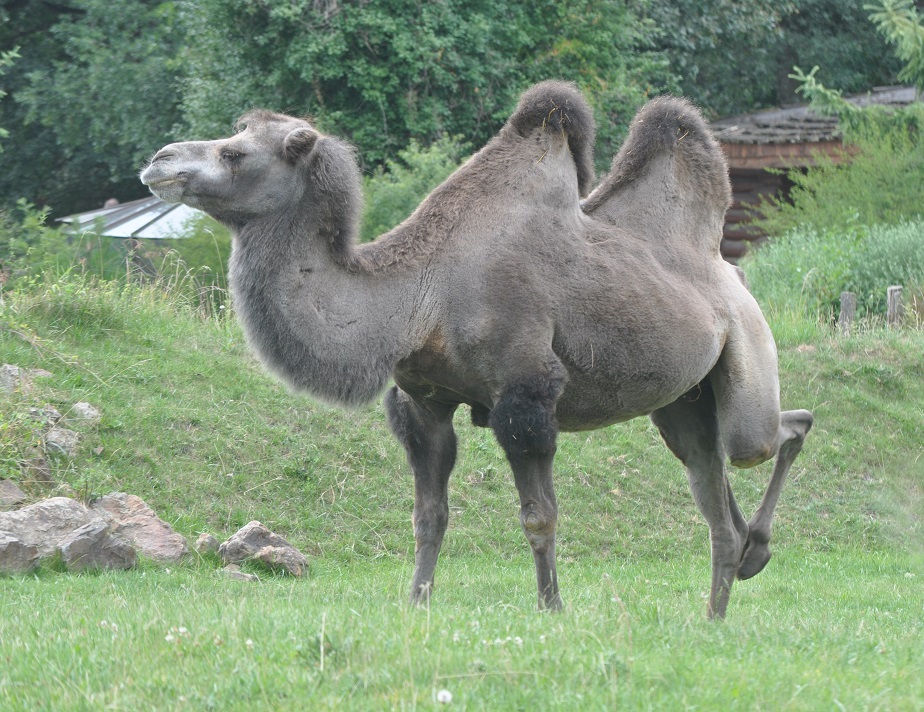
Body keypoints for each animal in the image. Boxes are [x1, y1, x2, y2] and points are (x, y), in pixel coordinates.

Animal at [141, 81, 813, 619]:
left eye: (234, 152)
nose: (158, 159)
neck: (422, 295)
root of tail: (728, 271)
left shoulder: (526, 393)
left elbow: (539, 515)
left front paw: (551, 609)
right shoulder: (424, 400)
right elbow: (428, 516)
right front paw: (417, 602)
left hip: (748, 347)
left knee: (772, 433)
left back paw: (753, 549)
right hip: (680, 400)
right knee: (708, 470)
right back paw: (726, 591)